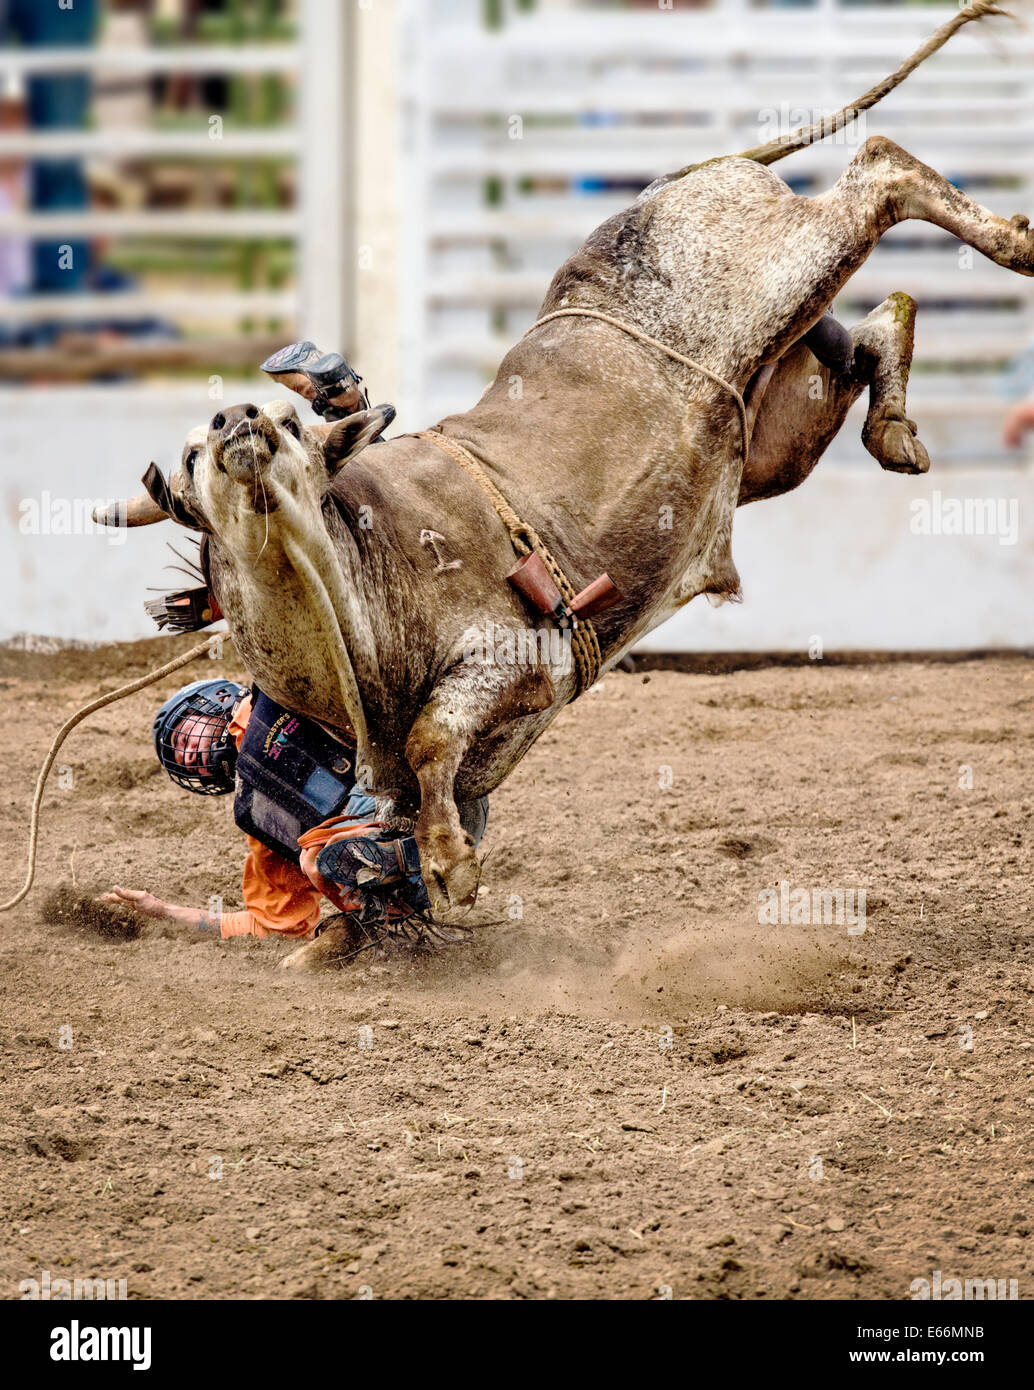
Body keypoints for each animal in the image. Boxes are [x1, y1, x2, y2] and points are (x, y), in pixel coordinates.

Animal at [95, 3, 1030, 968]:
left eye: (285, 428)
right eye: (193, 458)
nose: (236, 418)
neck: (352, 614)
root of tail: (668, 186)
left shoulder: (512, 655)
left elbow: (431, 737)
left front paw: (452, 869)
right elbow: (398, 805)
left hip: (784, 276)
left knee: (879, 169)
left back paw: (1013, 243)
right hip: (782, 422)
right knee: (877, 329)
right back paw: (898, 430)